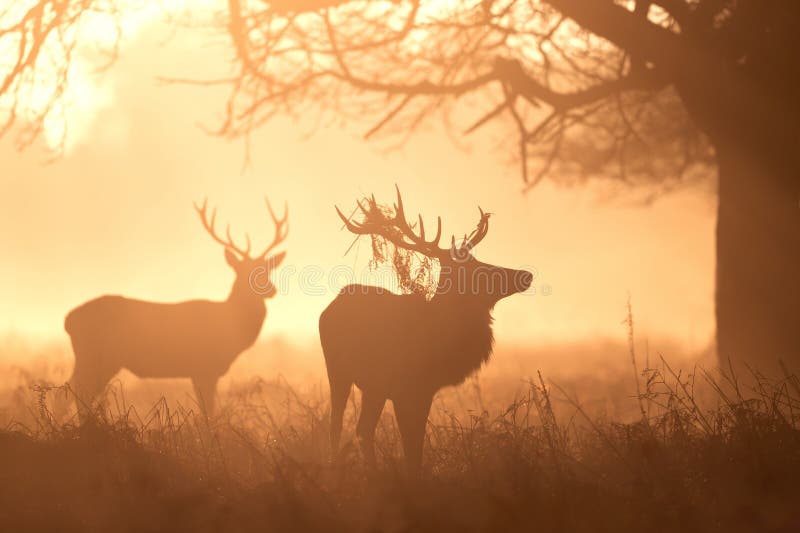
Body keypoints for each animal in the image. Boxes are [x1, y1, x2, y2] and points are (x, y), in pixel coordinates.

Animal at [64, 198, 288, 418]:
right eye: (243, 271)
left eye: (266, 270)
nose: (271, 290)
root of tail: (68, 320)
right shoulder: (204, 367)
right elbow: (208, 414)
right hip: (99, 356)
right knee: (79, 391)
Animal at [319, 187, 532, 473]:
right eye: (477, 268)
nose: (526, 274)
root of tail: (330, 307)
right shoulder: (403, 388)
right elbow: (410, 443)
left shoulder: (424, 390)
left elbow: (417, 441)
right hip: (338, 370)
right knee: (338, 423)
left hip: (372, 385)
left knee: (363, 428)